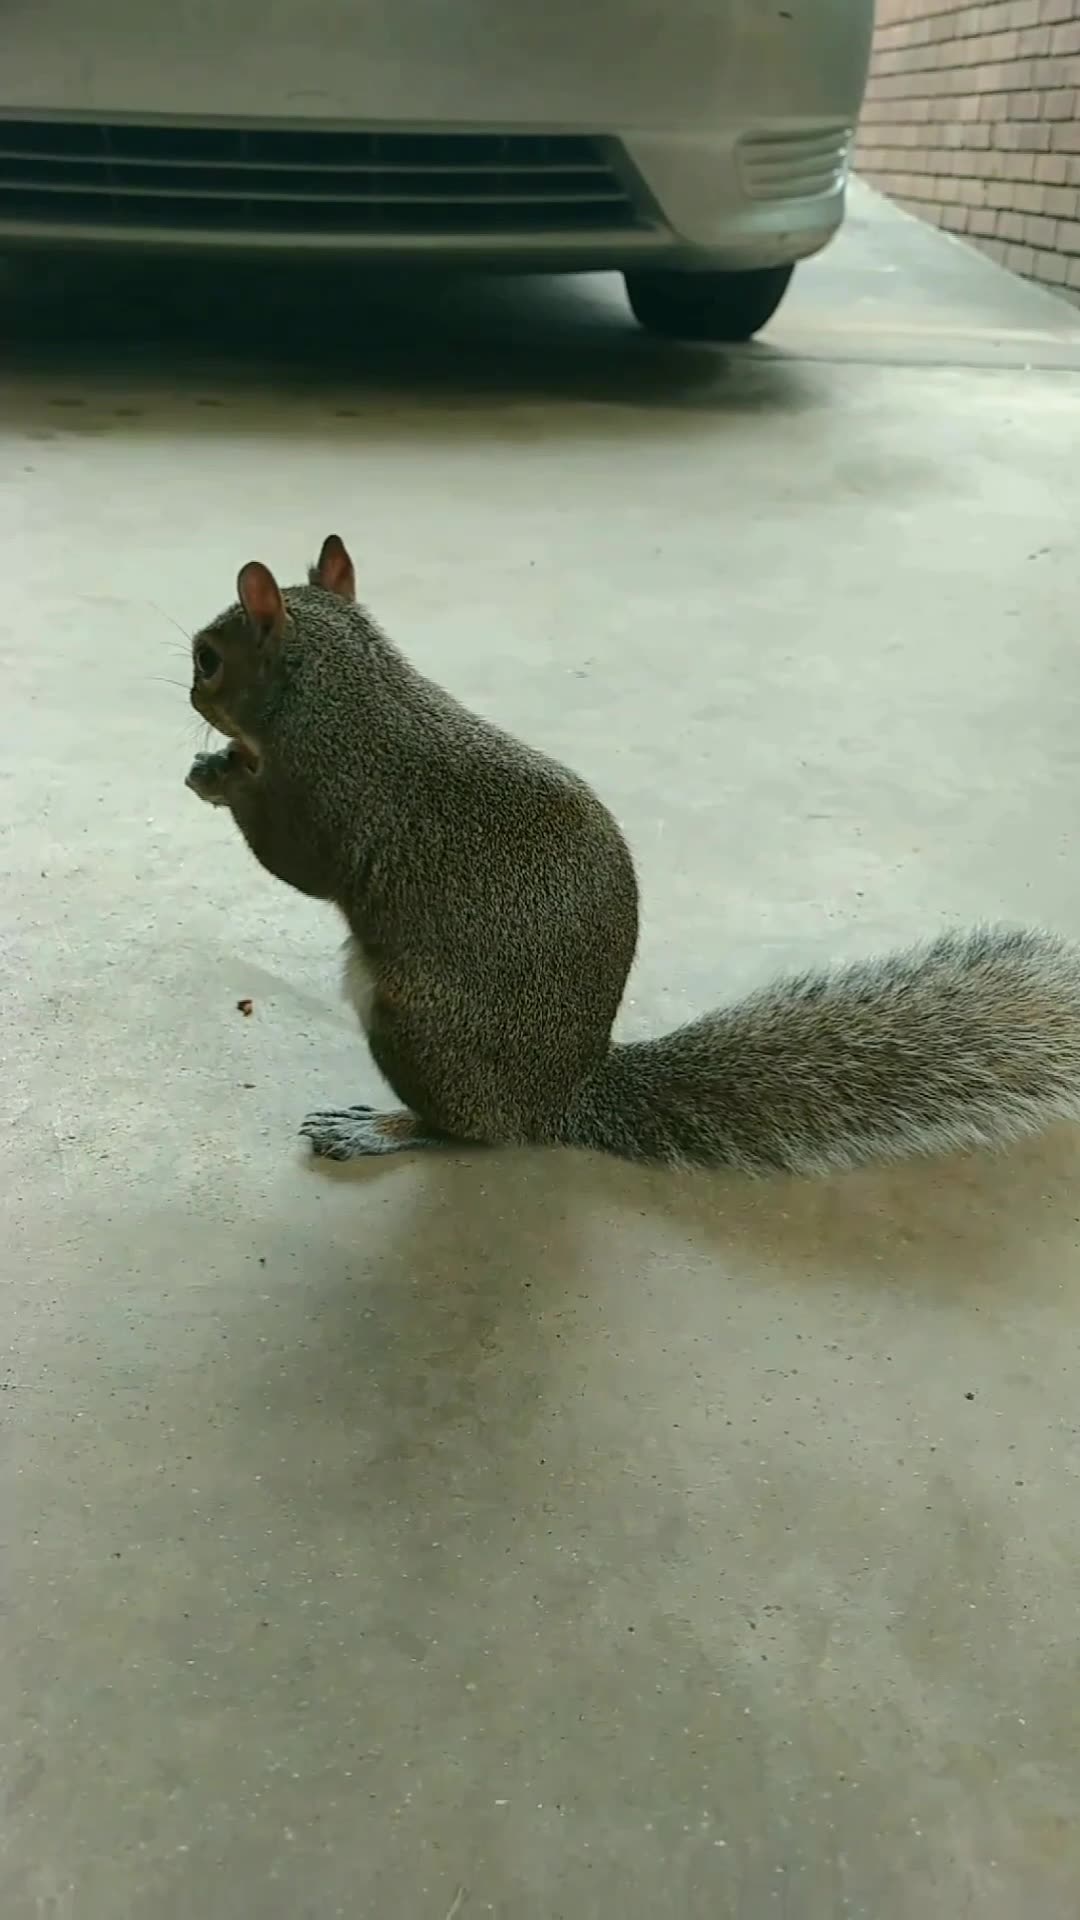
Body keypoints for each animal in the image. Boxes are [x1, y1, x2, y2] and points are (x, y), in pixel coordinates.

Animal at [184, 534, 1080, 1174]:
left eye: (208, 658)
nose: (191, 694)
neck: (341, 689)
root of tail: (565, 1094)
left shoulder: (331, 796)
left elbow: (296, 862)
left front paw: (217, 778)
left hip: (417, 1023)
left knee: (474, 1134)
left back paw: (382, 1128)